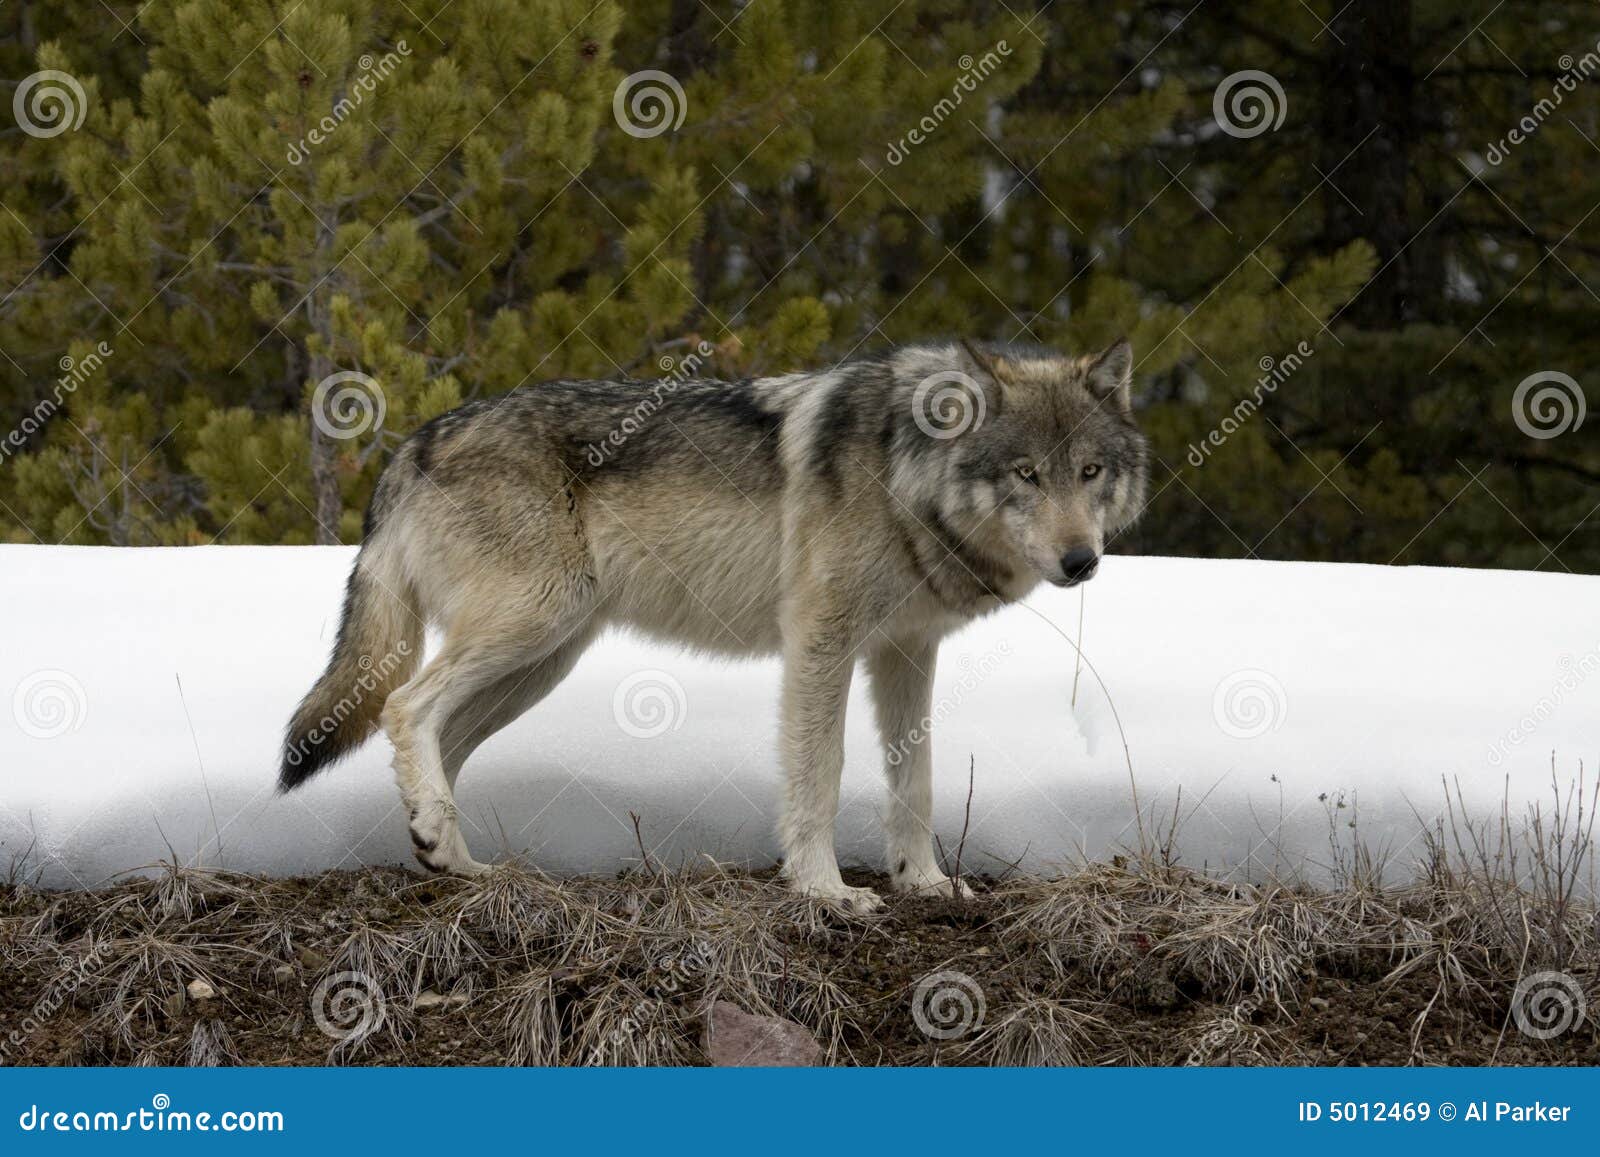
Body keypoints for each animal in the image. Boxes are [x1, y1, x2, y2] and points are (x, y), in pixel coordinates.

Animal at [278, 339, 1149, 912]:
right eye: (1025, 473)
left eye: (1090, 472)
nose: (1081, 560)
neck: (908, 475)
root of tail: (412, 444)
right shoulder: (821, 640)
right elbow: (821, 773)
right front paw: (827, 890)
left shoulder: (907, 650)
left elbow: (916, 778)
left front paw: (926, 882)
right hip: (532, 624)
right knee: (404, 708)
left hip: (539, 661)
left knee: (442, 745)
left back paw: (452, 860)